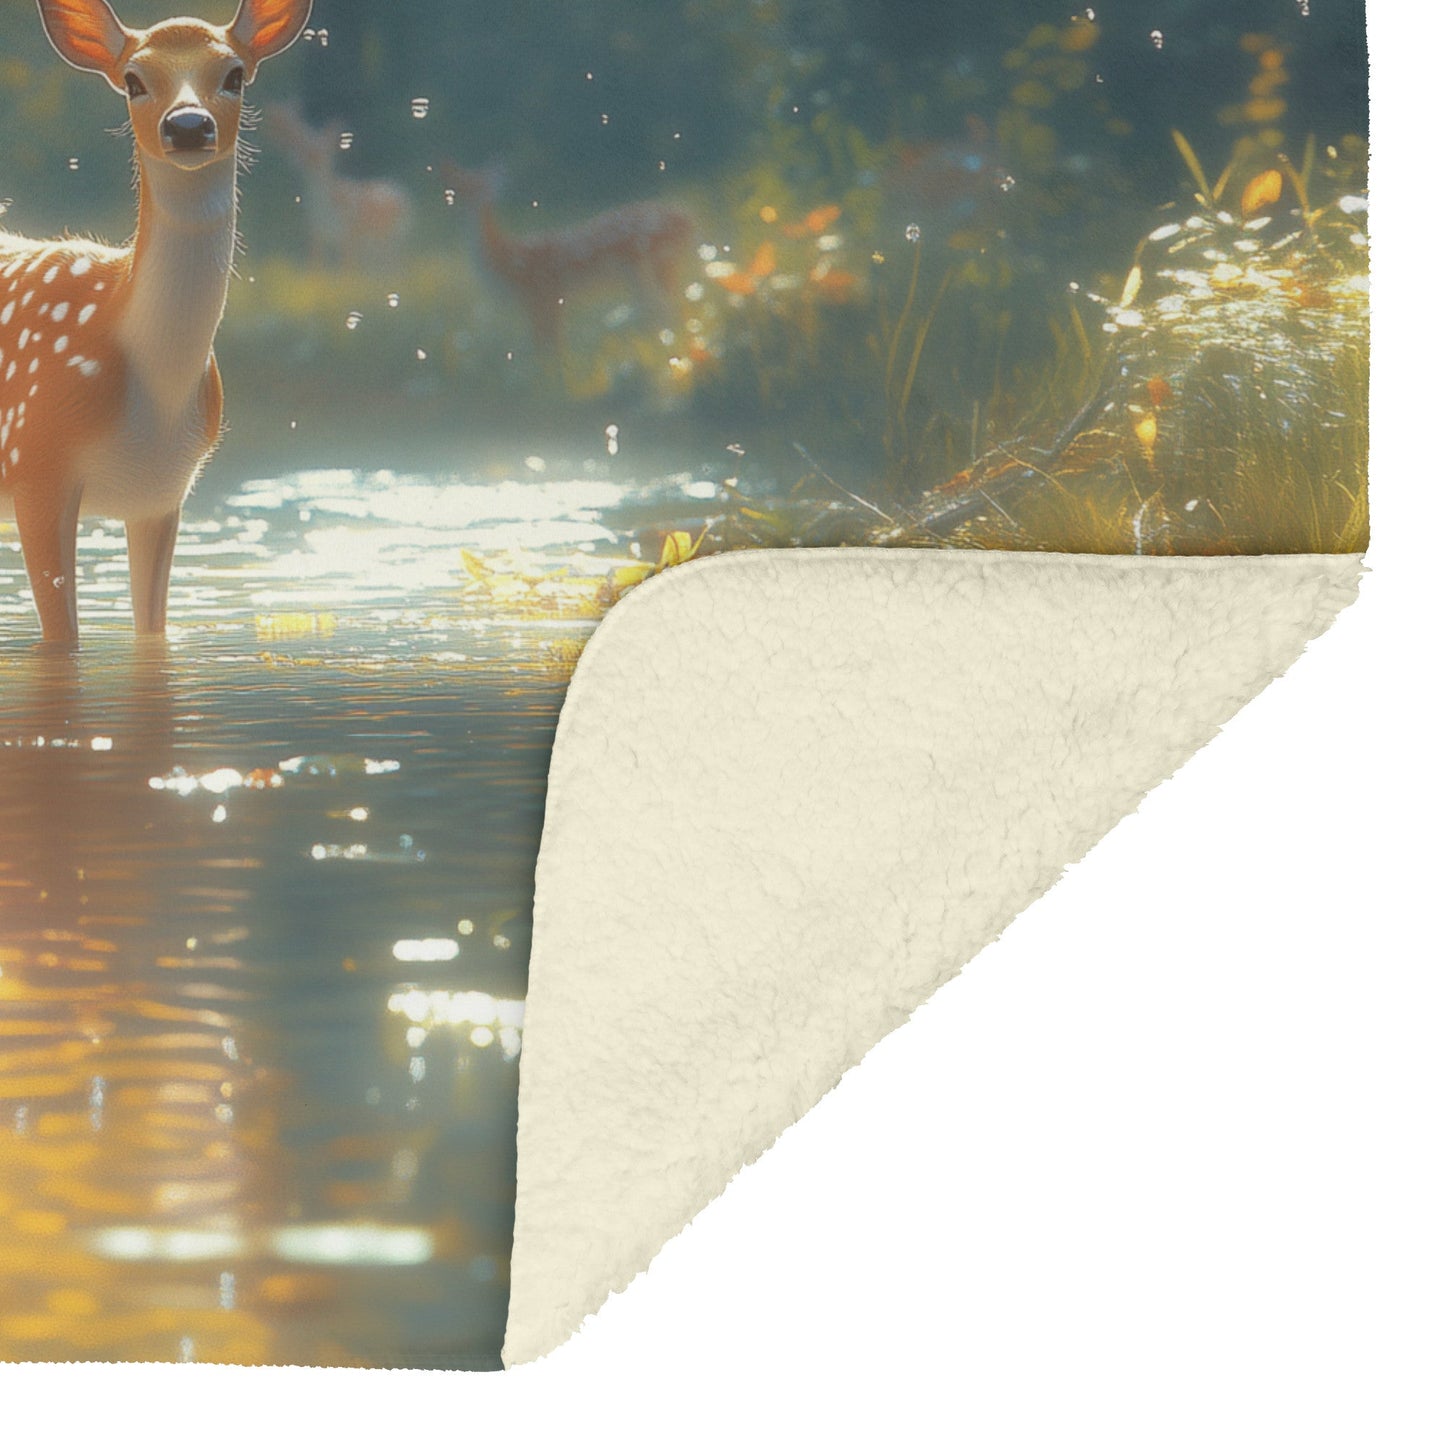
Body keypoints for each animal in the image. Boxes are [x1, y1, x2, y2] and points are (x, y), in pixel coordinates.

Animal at [0, 0, 312, 646]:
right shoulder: (36, 462)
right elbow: (62, 641)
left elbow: (152, 631)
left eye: (235, 74)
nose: (188, 126)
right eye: (133, 80)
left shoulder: (162, 493)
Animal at [266, 99, 413, 272]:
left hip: (391, 238)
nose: (298, 160)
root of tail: (402, 193)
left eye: (324, 153)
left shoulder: (348, 235)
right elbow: (316, 268)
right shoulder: (317, 234)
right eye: (307, 150)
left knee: (393, 264)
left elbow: (346, 270)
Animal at [443, 161, 695, 355]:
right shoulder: (546, 300)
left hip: (644, 271)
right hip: (666, 267)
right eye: (460, 186)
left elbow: (549, 349)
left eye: (469, 187)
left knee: (664, 312)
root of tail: (687, 220)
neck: (506, 262)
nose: (451, 202)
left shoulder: (542, 294)